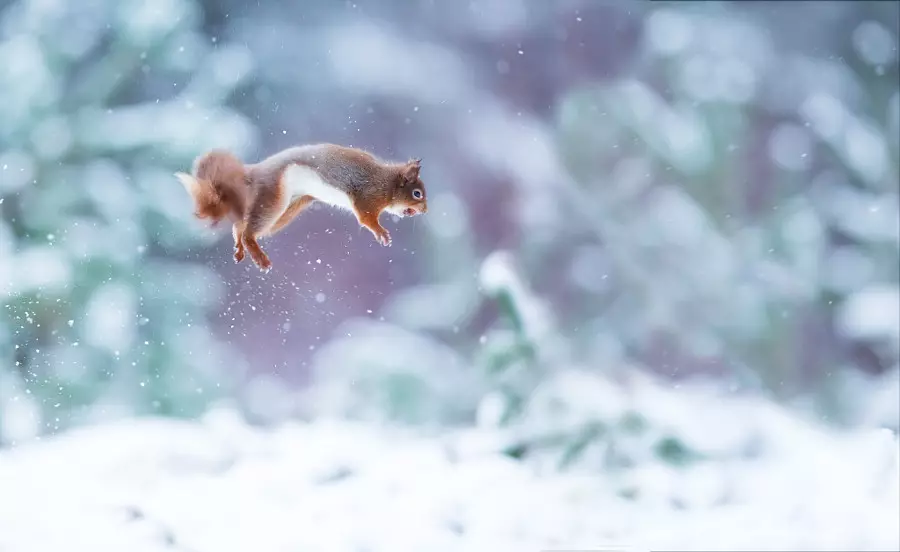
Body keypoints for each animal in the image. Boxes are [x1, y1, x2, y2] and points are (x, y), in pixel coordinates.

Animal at [178, 142, 430, 272]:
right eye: (417, 193)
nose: (426, 210)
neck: (387, 183)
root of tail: (255, 171)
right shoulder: (367, 197)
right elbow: (366, 219)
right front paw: (381, 233)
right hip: (275, 198)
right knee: (250, 231)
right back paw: (258, 256)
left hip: (290, 207)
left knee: (241, 225)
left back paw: (240, 247)